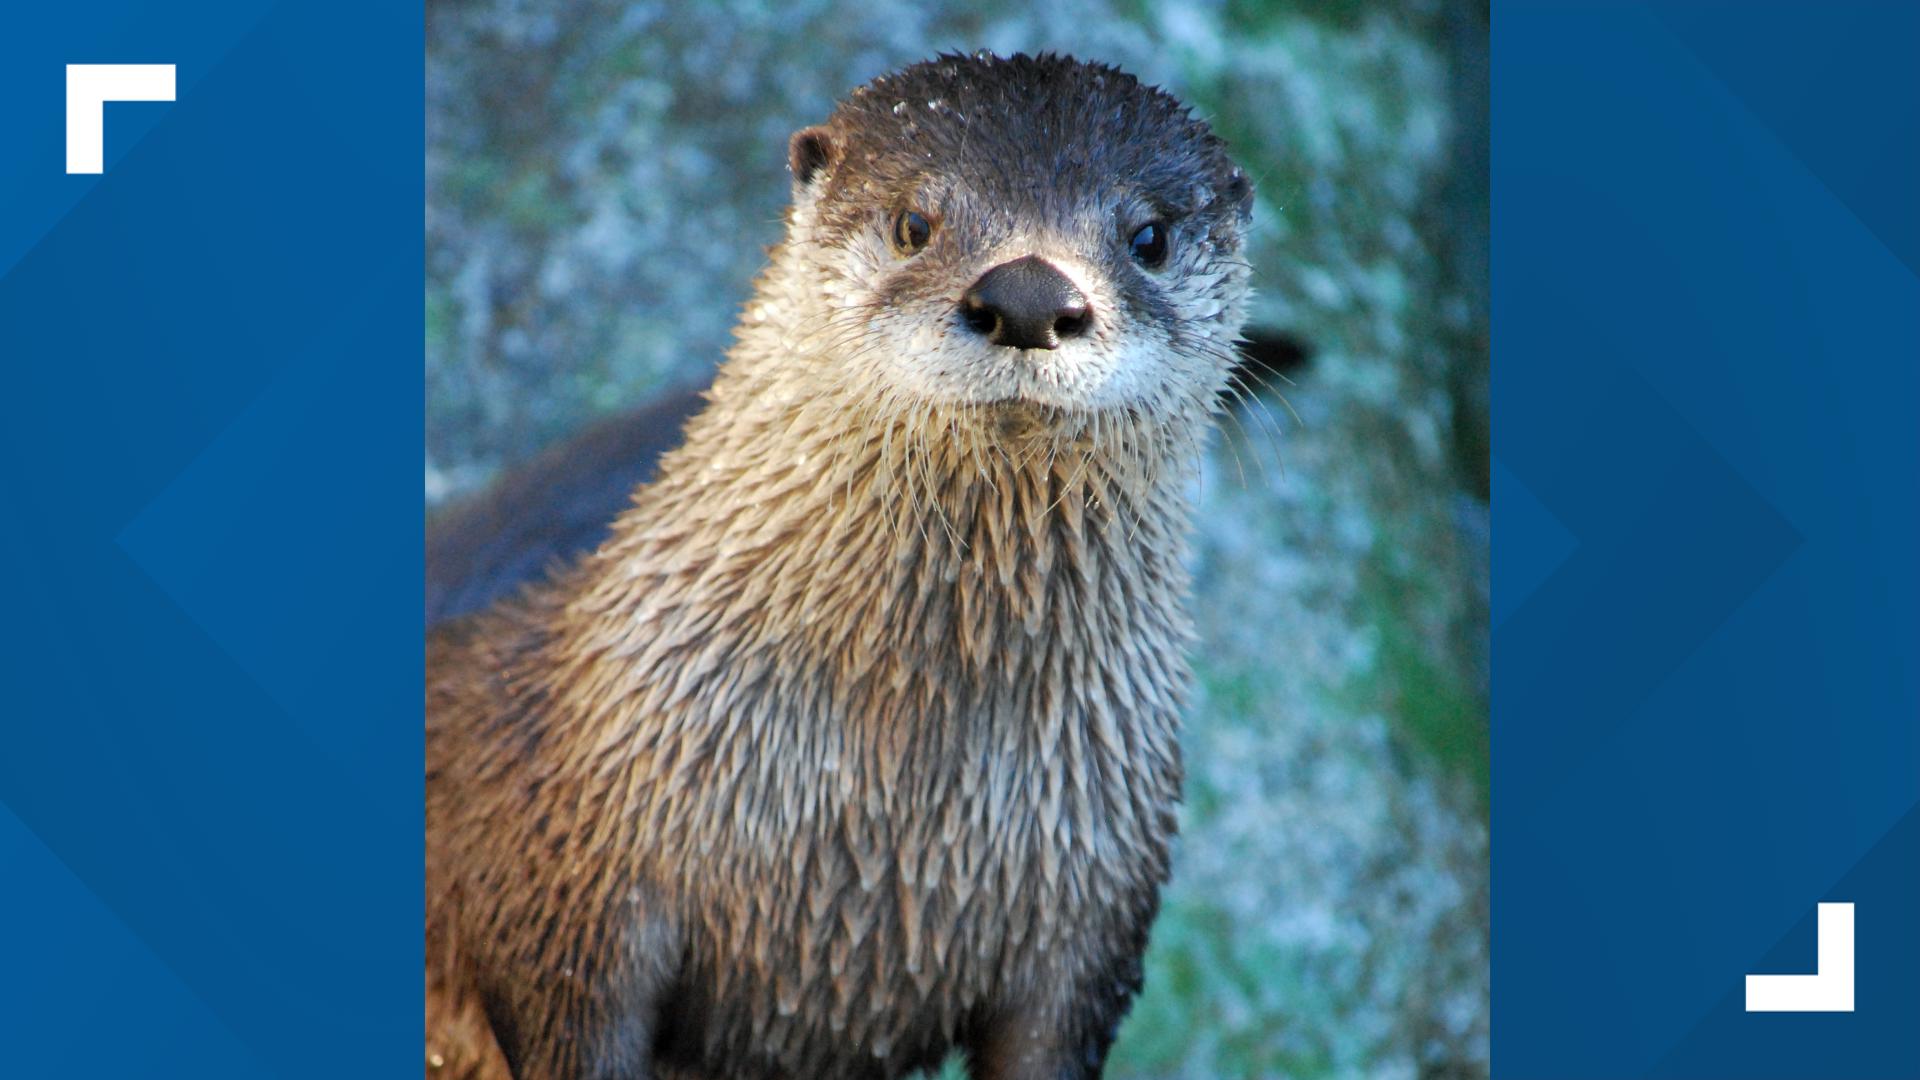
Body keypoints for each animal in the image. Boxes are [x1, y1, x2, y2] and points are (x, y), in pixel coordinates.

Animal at [426, 52, 1255, 1079]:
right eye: (913, 224)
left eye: (1148, 237)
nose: (1028, 297)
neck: (886, 781)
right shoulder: (568, 894)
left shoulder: (1093, 916)